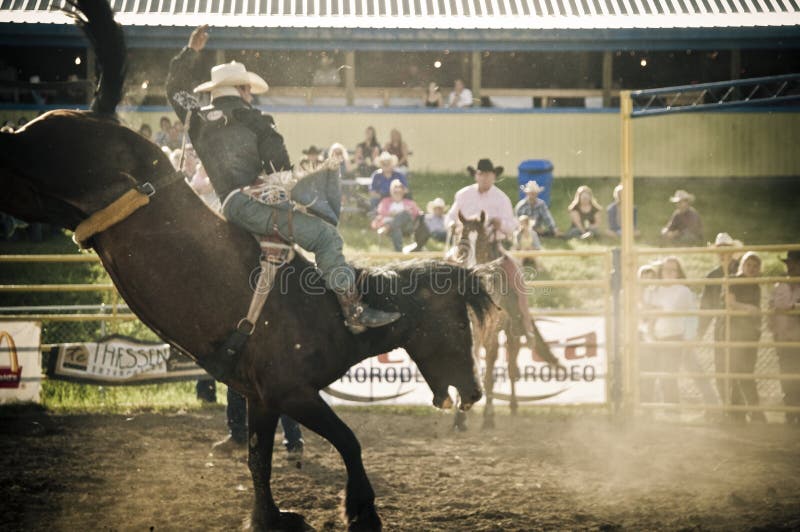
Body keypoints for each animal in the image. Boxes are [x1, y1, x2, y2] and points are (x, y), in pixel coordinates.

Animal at [0, 2, 496, 528]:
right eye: (458, 324)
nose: (475, 392)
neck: (322, 310)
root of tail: (97, 116)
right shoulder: (293, 392)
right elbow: (348, 442)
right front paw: (361, 511)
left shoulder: (261, 398)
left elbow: (259, 460)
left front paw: (269, 517)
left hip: (32, 194)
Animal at [446, 210, 560, 430]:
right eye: (462, 238)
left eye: (482, 239)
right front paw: (459, 417)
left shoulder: (488, 332)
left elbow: (489, 372)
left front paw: (481, 417)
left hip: (511, 331)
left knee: (509, 366)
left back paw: (507, 409)